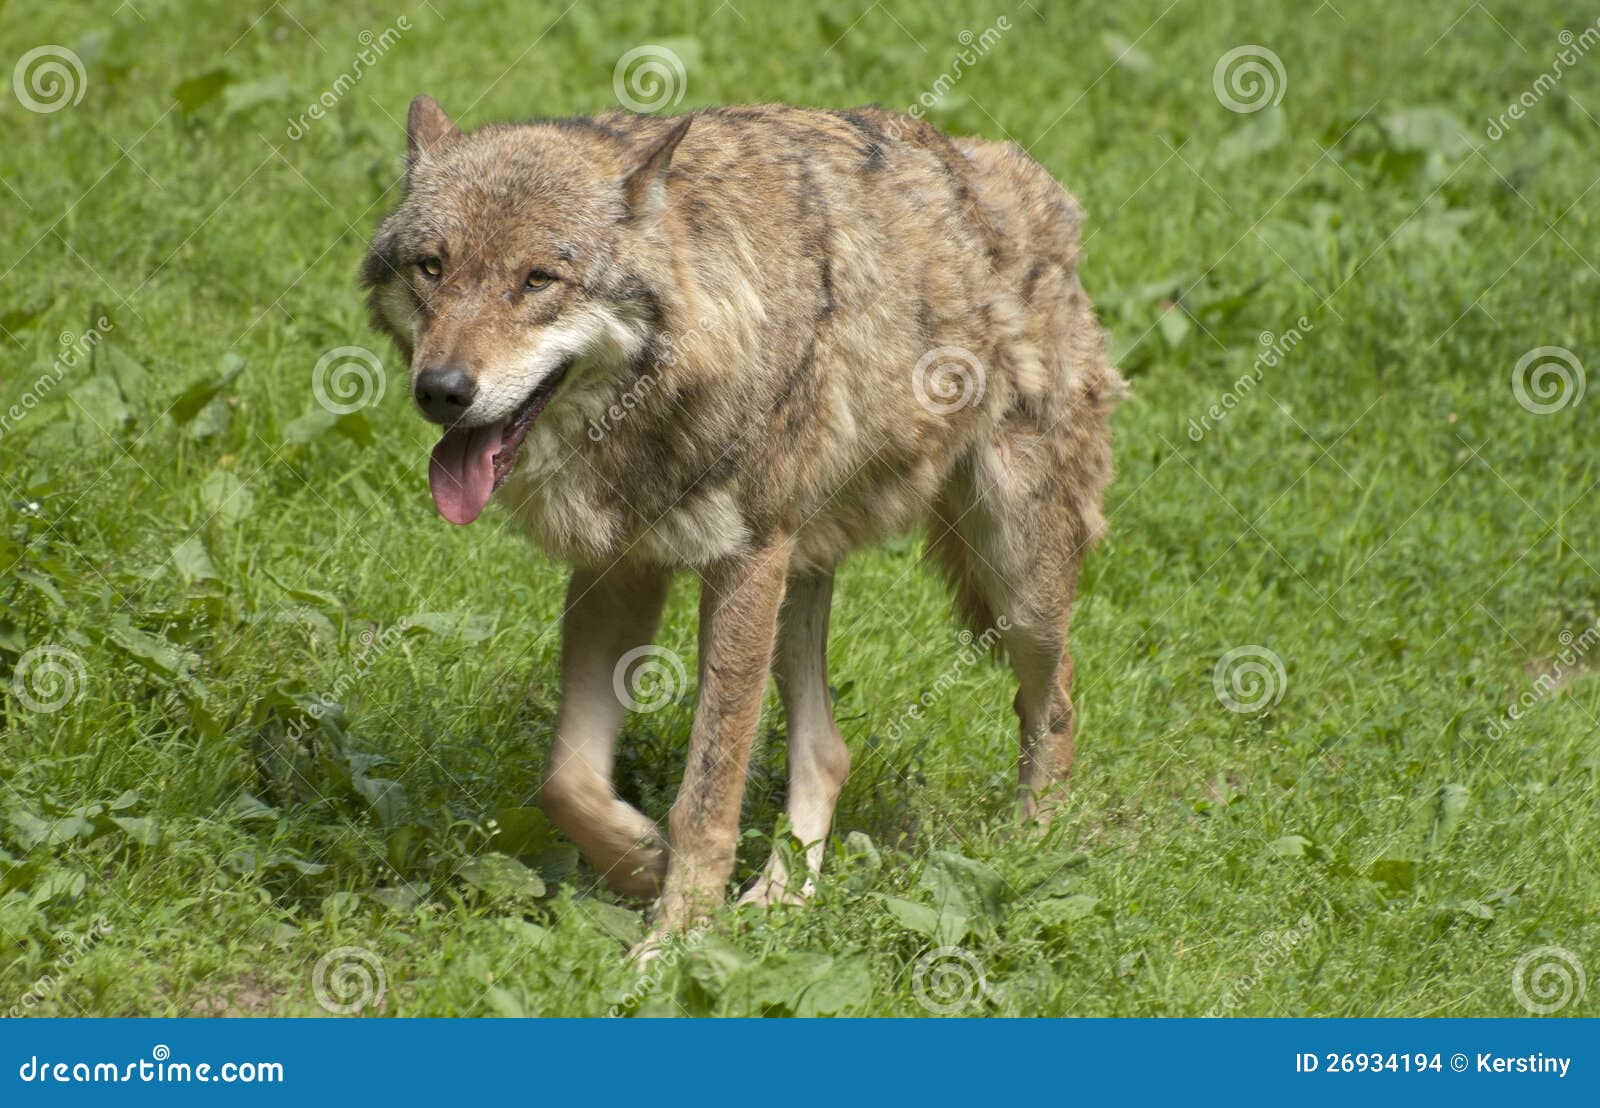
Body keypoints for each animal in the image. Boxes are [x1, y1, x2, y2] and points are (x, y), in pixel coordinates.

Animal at [361, 96, 1124, 940]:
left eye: (537, 279)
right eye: (433, 266)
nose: (442, 389)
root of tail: (1028, 179)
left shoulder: (742, 563)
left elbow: (708, 791)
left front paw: (674, 940)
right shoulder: (621, 567)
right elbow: (567, 781)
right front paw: (642, 863)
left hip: (1011, 582)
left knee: (1054, 698)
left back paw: (1032, 851)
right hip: (800, 579)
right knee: (828, 749)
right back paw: (780, 901)